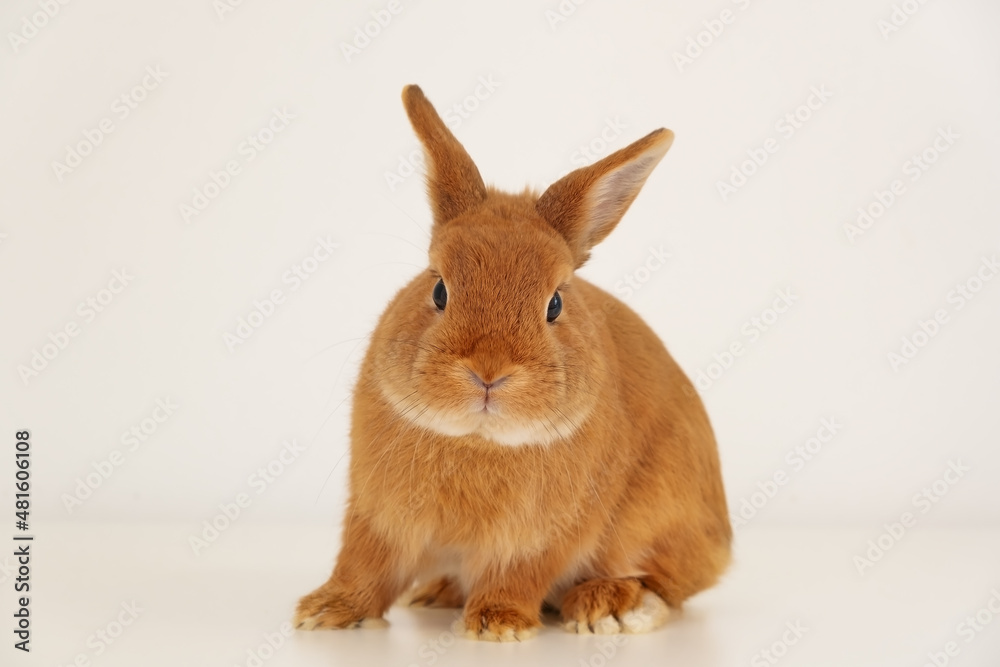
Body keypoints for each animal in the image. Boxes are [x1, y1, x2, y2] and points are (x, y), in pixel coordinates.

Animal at [294, 84, 731, 641]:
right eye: (438, 289)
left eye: (555, 304)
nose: (488, 371)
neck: (479, 441)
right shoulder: (378, 517)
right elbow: (365, 565)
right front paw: (327, 611)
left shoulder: (544, 536)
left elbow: (518, 574)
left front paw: (497, 624)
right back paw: (437, 592)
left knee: (666, 583)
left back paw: (609, 605)